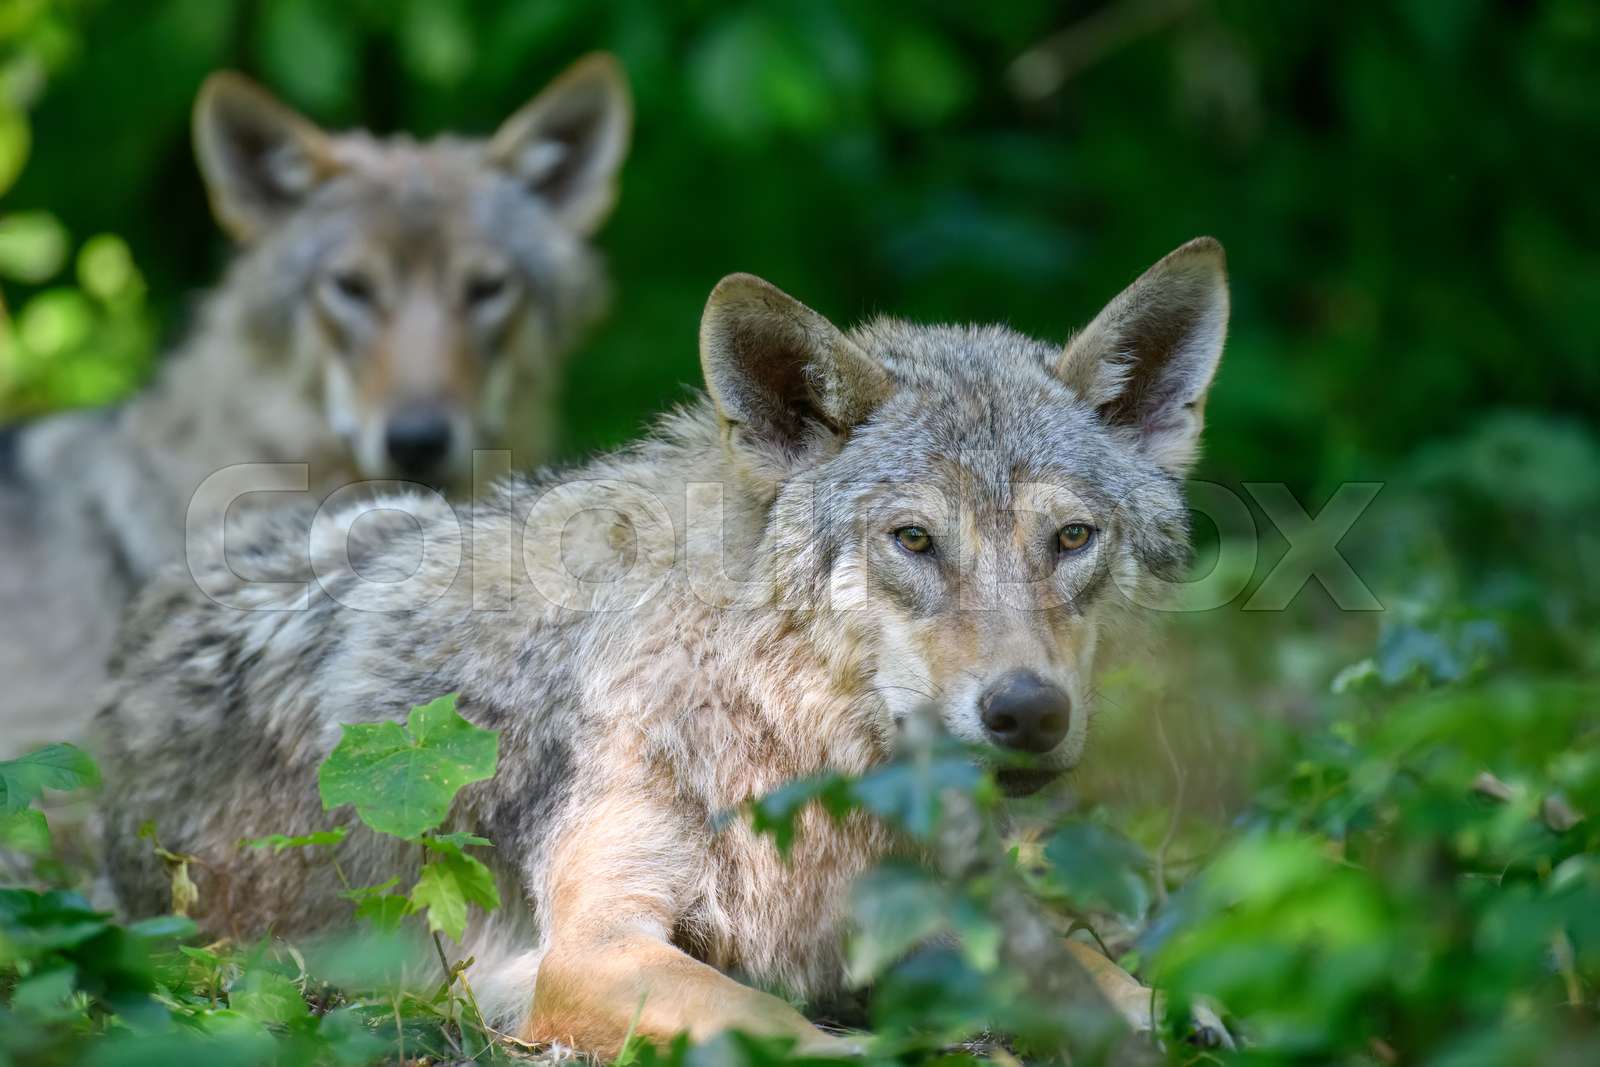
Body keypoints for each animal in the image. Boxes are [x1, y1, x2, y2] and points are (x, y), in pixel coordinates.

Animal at [96, 239, 1229, 1054]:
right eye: (913, 540)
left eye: (1070, 538)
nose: (1027, 709)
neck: (778, 736)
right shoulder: (590, 950)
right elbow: (787, 1030)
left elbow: (1090, 966)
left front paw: (1170, 1002)